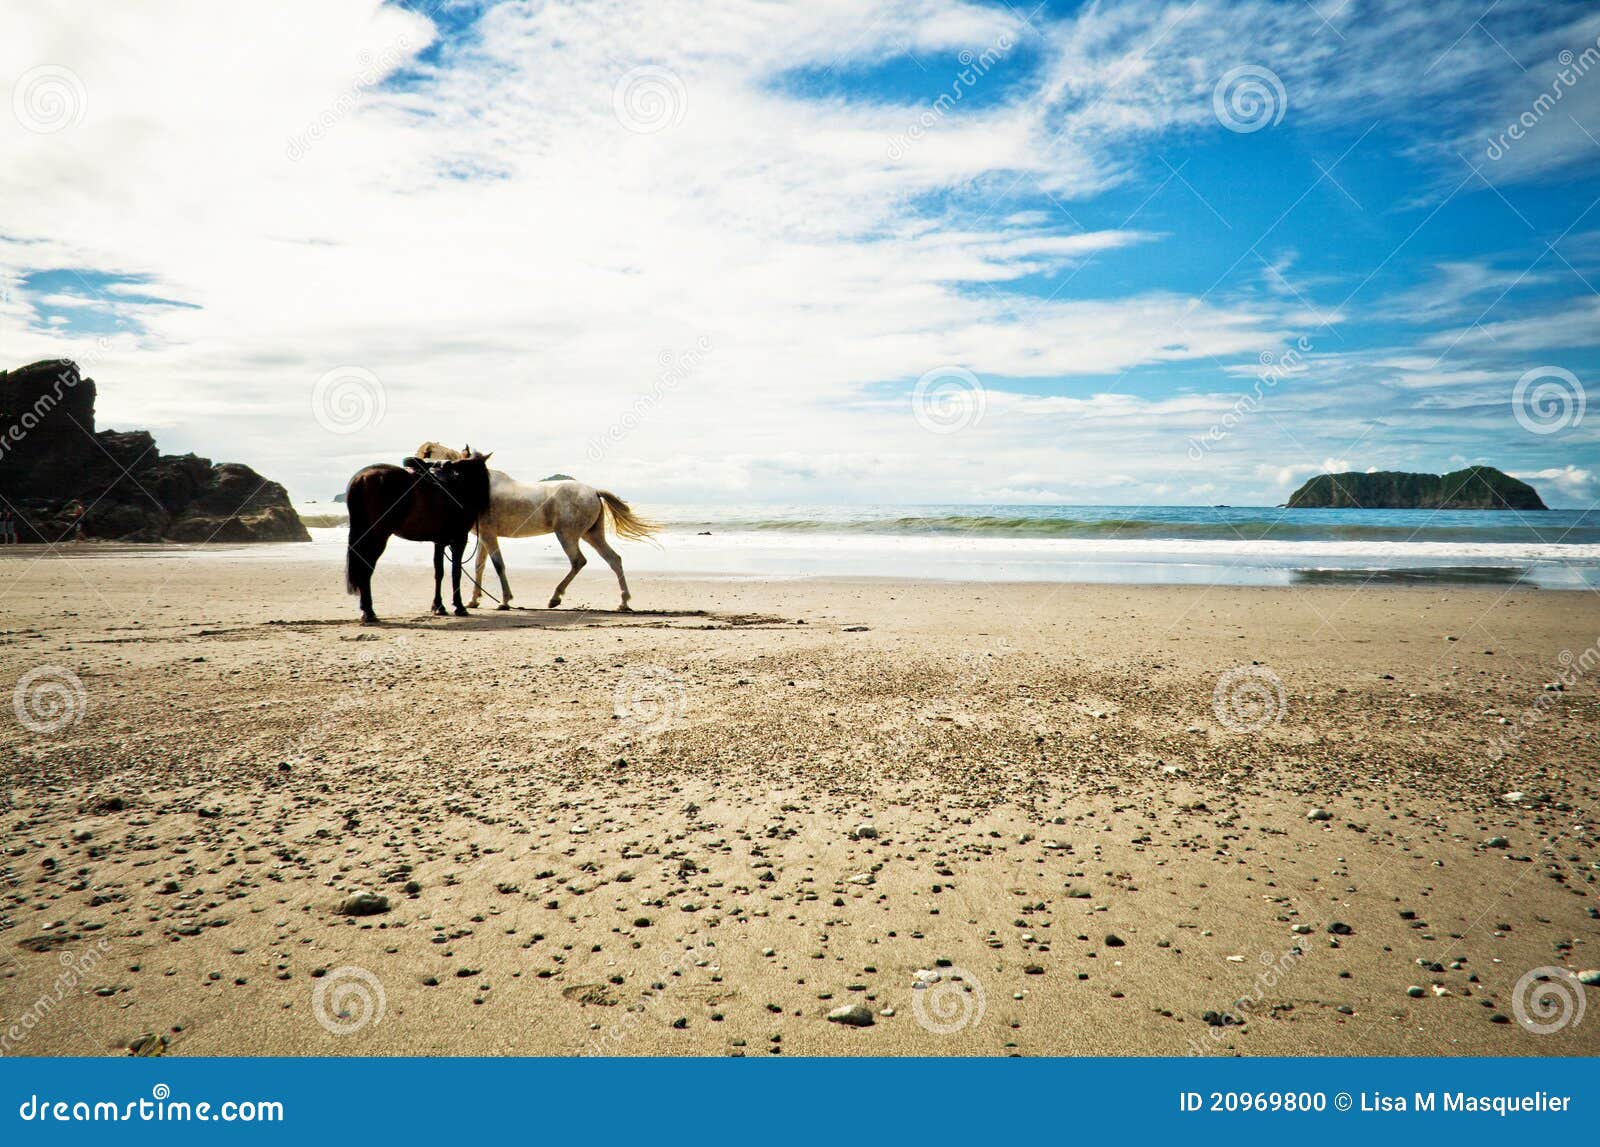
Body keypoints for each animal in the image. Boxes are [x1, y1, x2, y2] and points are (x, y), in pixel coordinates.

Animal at [344, 448, 492, 625]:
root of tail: (362, 478)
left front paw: (438, 606)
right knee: (366, 568)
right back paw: (369, 611)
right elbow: (456, 572)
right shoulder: (459, 539)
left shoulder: (439, 542)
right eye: (484, 475)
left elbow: (439, 572)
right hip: (378, 537)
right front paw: (459, 606)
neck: (460, 484)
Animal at [414, 442, 657, 611]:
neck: (478, 487)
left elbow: (498, 565)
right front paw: (474, 601)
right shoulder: (484, 537)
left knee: (578, 561)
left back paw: (555, 598)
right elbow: (479, 566)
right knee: (614, 560)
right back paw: (623, 602)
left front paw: (505, 601)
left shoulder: (490, 536)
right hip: (592, 535)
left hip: (567, 535)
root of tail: (594, 491)